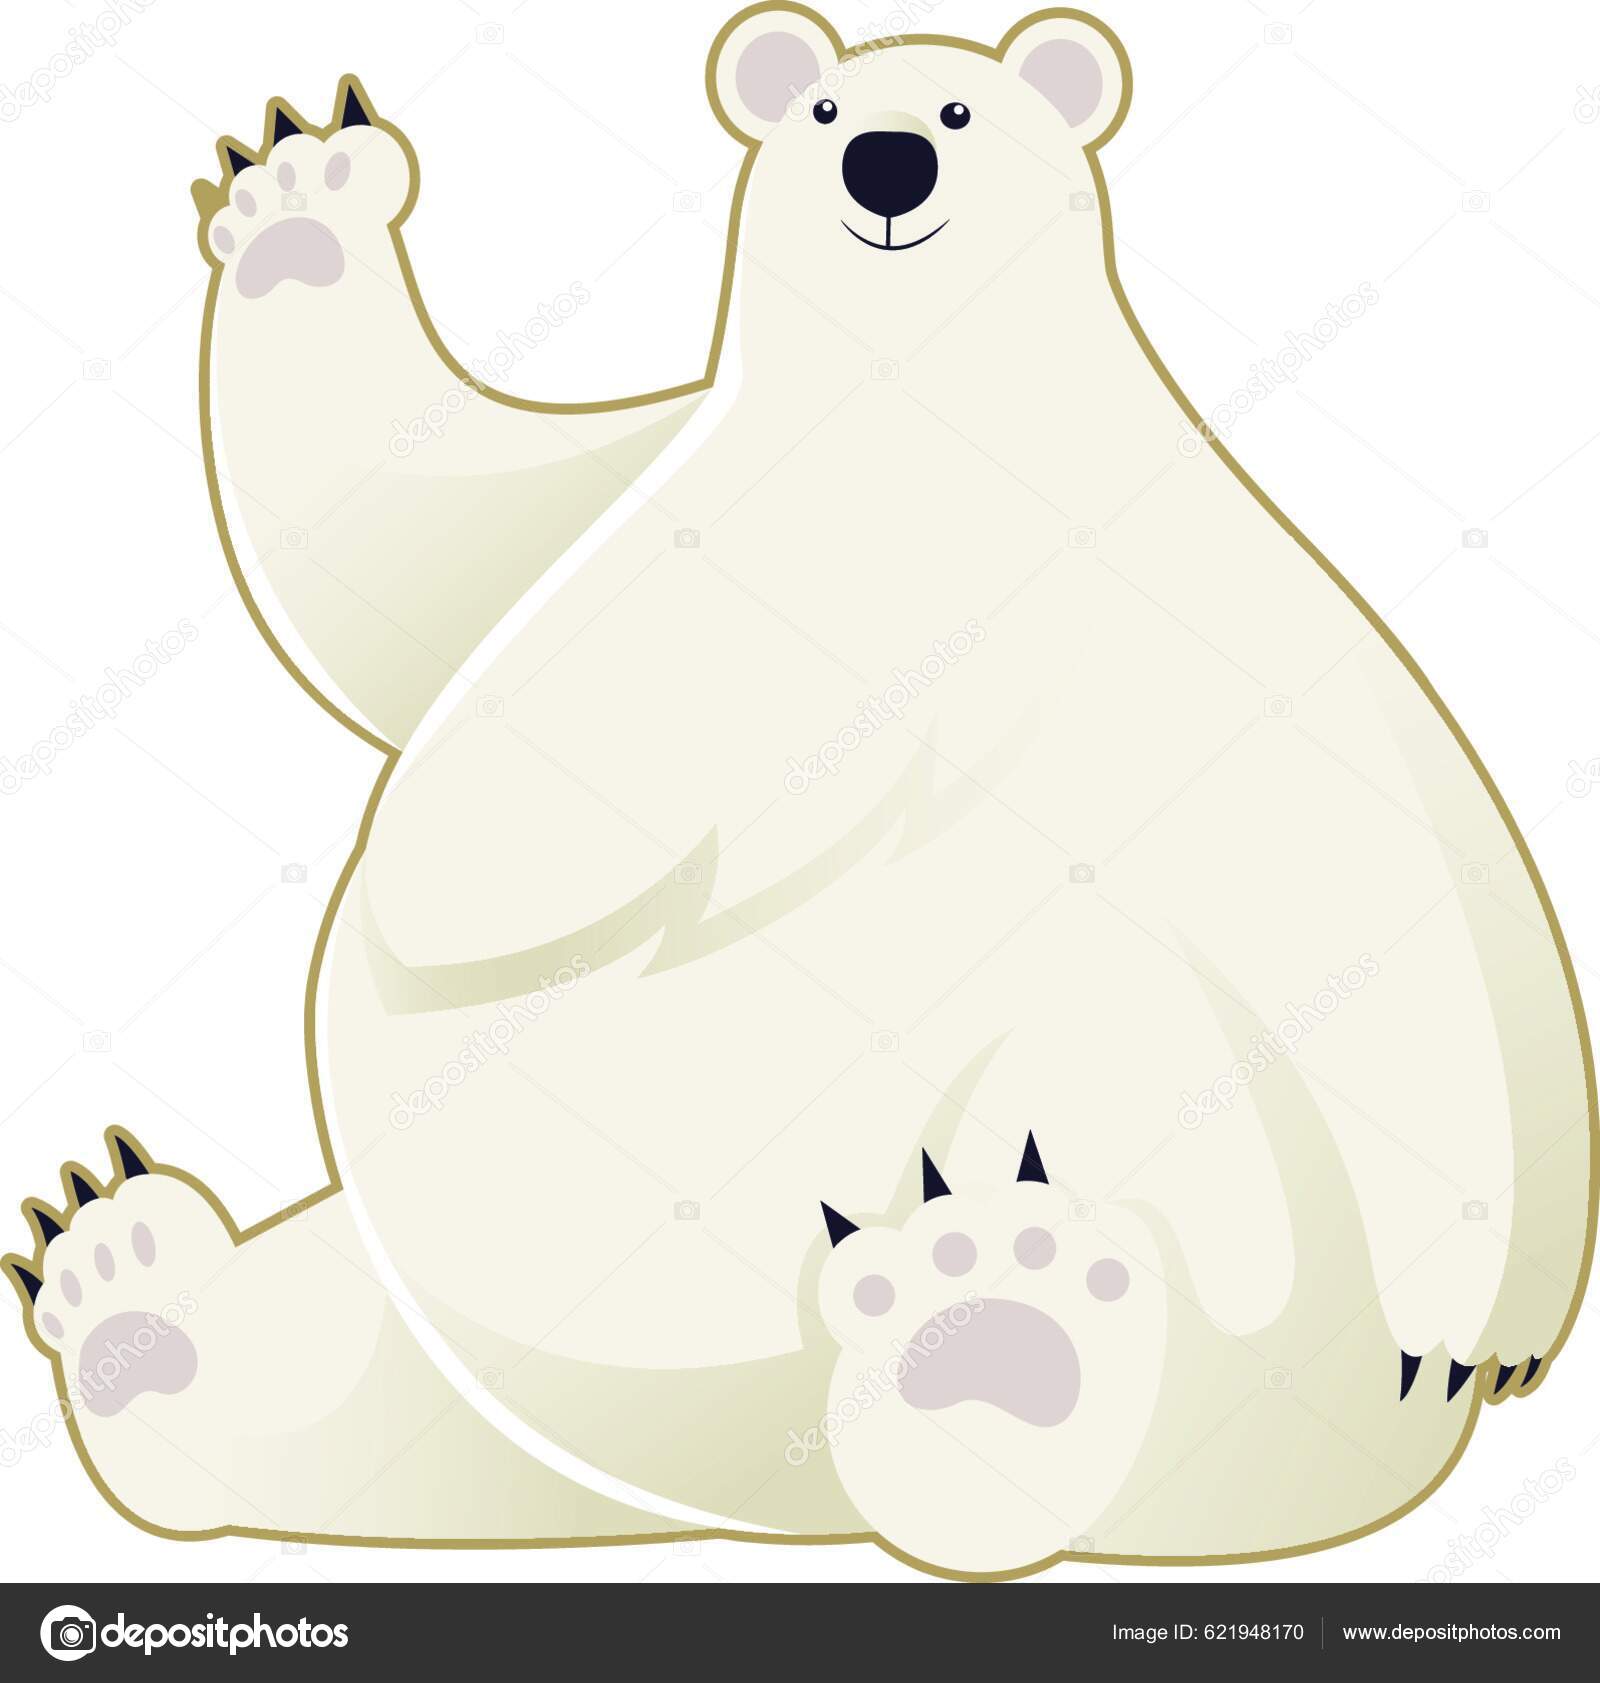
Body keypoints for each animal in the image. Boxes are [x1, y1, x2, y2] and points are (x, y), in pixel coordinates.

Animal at [7, 4, 1594, 1579]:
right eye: (826, 111)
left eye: (958, 113)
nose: (886, 164)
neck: (911, 432)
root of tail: (780, 1500)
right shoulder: (634, 486)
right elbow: (409, 540)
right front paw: (303, 191)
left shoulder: (1214, 638)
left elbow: (1404, 903)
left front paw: (1478, 1326)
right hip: (458, 1331)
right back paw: (125, 1287)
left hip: (1164, 1198)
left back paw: (999, 1318)